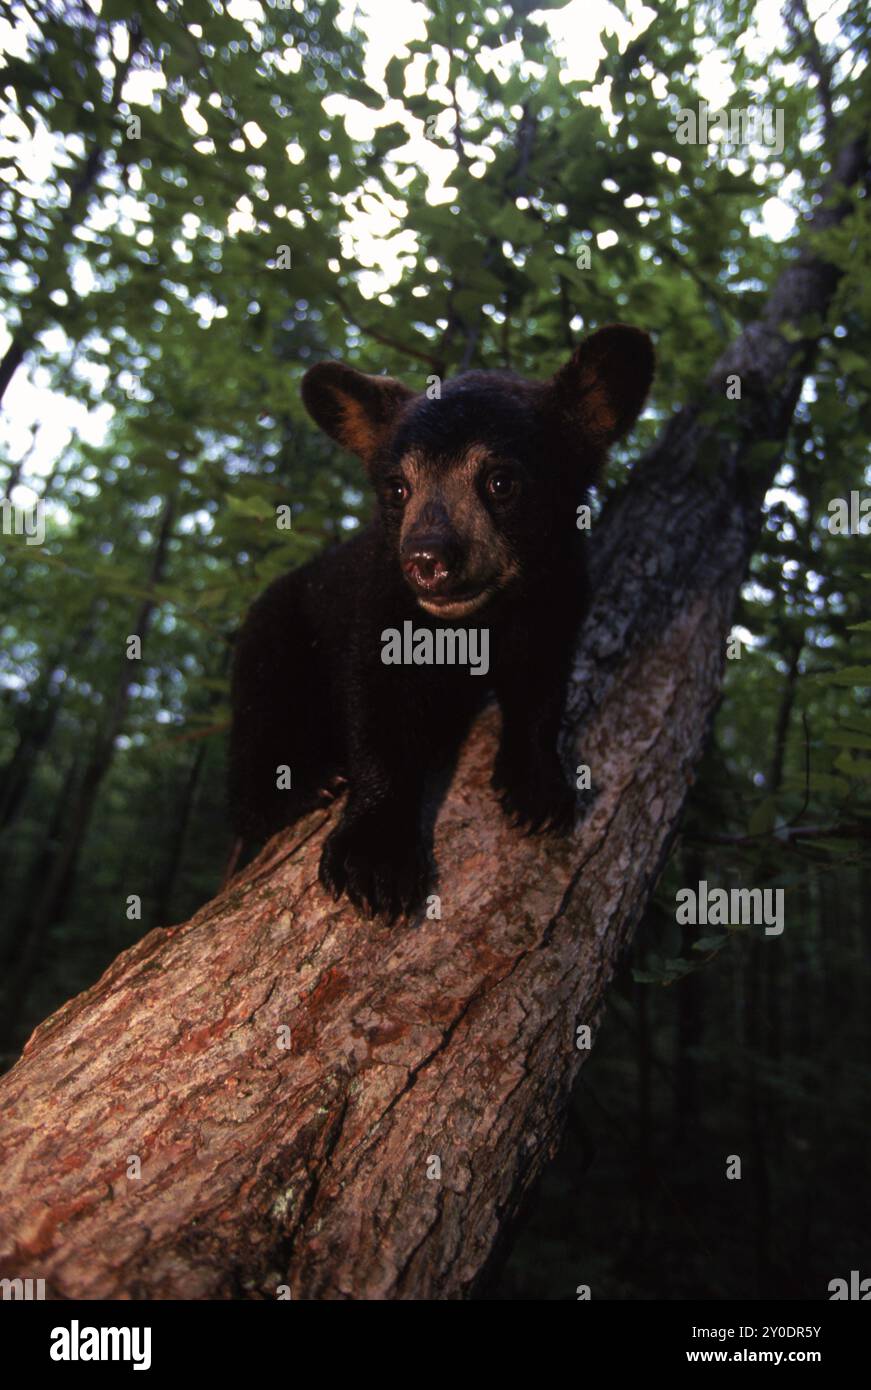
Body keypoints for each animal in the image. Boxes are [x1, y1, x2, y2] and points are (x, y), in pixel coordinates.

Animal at [228, 324, 654, 921]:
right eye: (396, 487)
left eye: (501, 481)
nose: (426, 560)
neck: (483, 621)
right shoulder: (382, 604)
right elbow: (378, 709)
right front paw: (375, 857)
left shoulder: (558, 600)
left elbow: (542, 691)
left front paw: (537, 788)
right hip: (274, 630)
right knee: (261, 710)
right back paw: (300, 788)